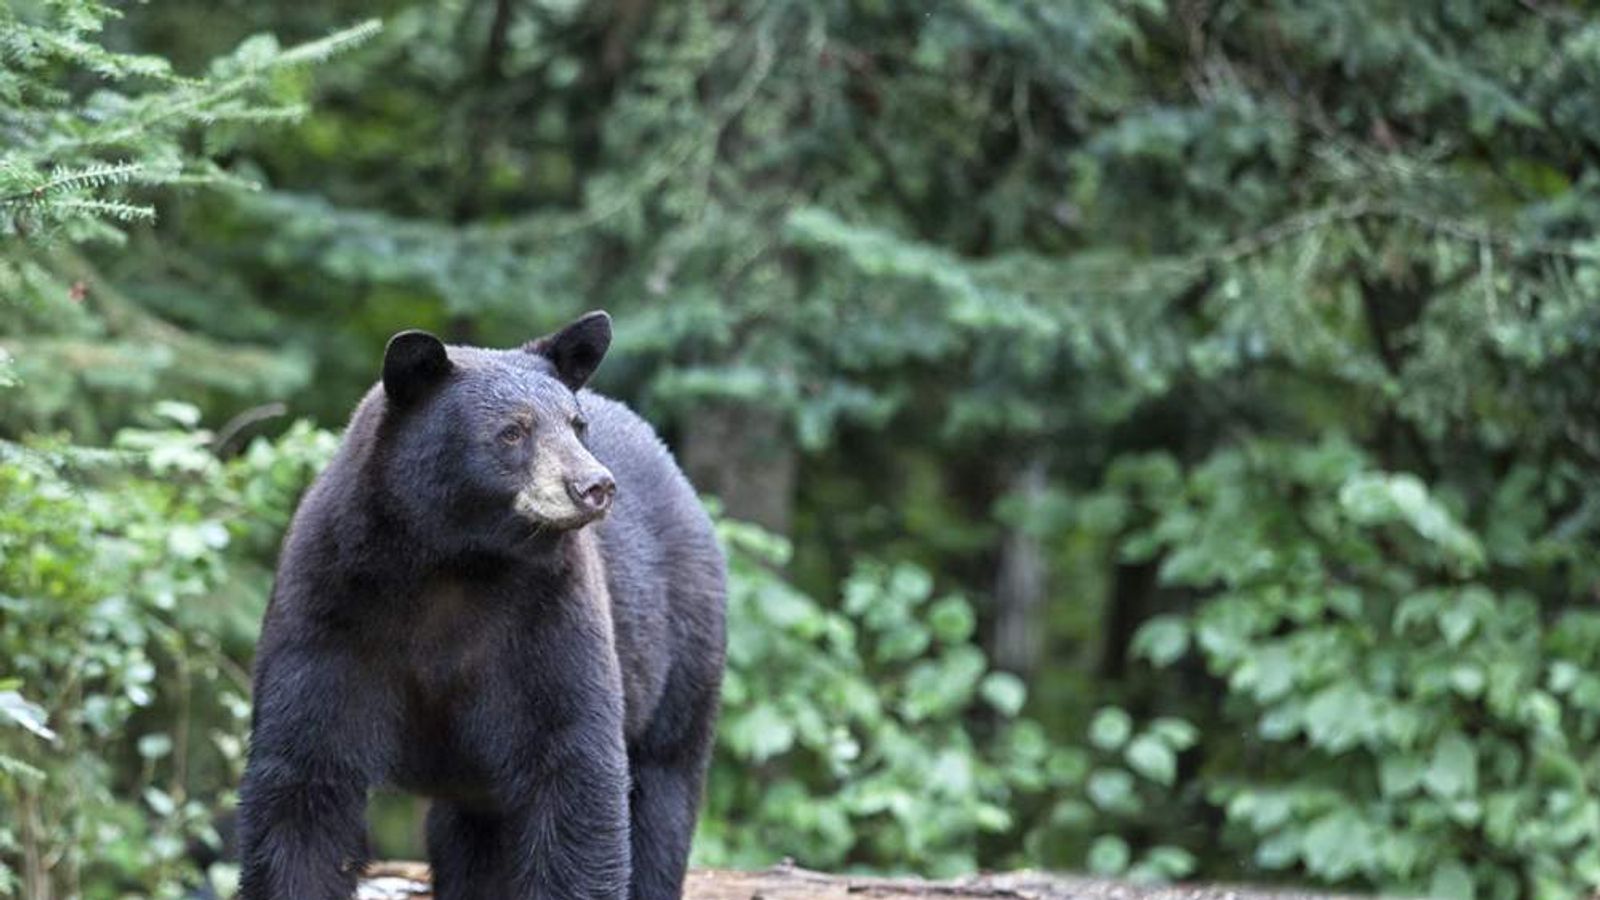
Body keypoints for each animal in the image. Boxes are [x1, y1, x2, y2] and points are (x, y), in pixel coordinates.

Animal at [235, 311, 727, 900]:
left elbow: (575, 769)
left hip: (683, 647)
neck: (454, 562)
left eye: (576, 425)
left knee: (663, 790)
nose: (595, 485)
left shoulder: (550, 619)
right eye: (513, 431)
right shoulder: (329, 611)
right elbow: (304, 782)